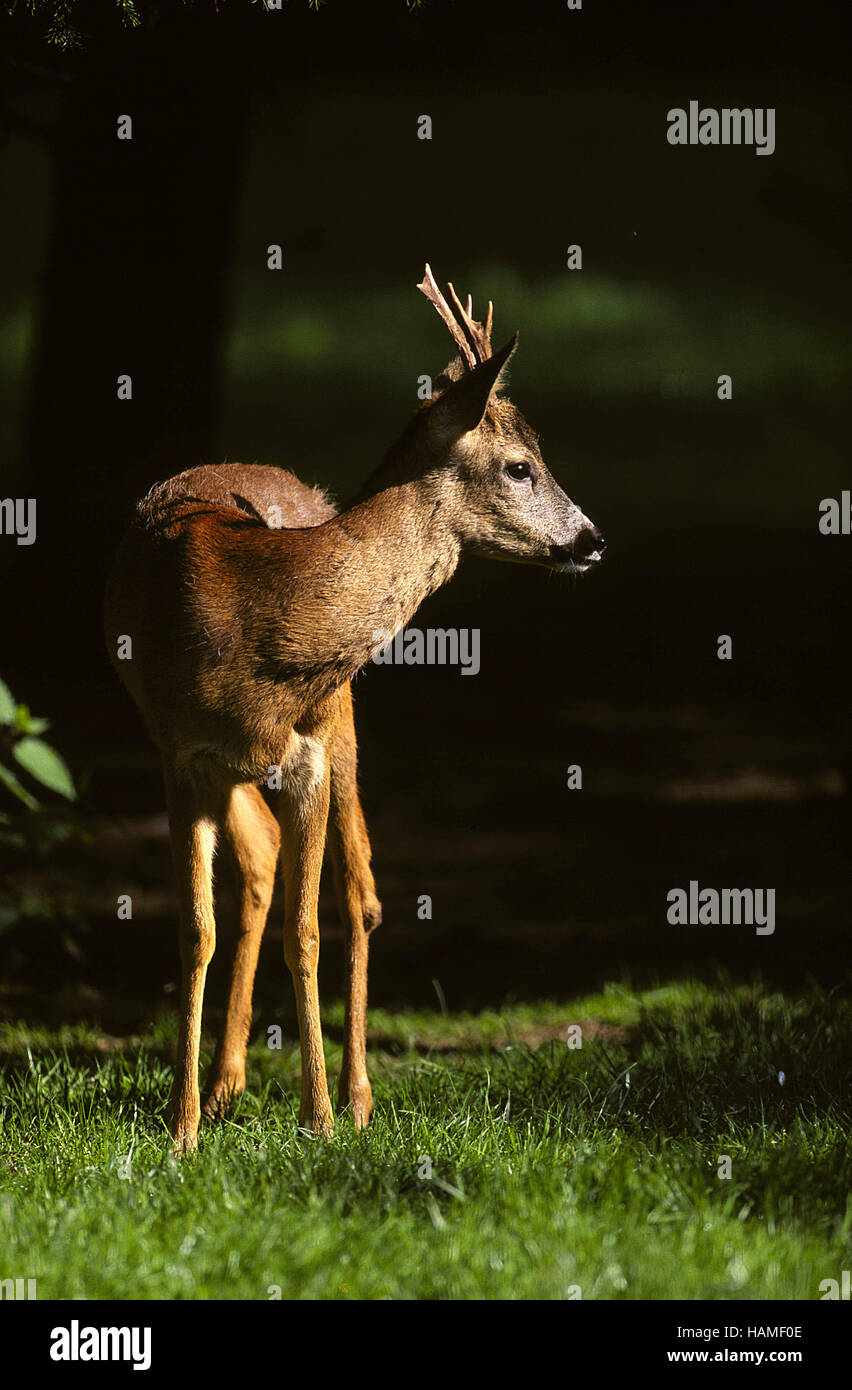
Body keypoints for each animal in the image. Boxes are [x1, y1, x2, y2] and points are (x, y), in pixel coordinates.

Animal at [104, 265, 606, 1154]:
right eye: (519, 466)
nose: (591, 538)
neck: (252, 610)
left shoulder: (304, 750)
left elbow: (308, 929)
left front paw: (321, 1119)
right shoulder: (180, 753)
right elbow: (194, 929)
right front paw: (181, 1127)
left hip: (341, 714)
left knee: (359, 888)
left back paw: (358, 1094)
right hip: (241, 758)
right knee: (263, 861)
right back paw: (227, 1085)